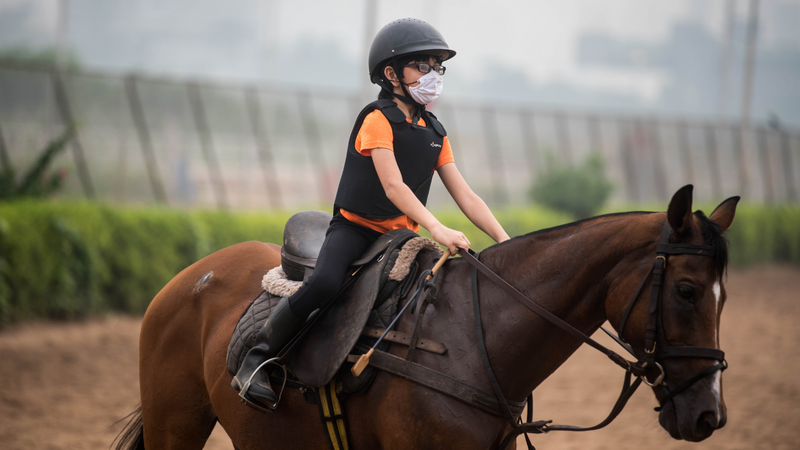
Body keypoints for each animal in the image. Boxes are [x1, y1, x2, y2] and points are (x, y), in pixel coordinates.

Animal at [116, 185, 737, 449]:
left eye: (723, 296)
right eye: (686, 290)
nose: (710, 415)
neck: (473, 342)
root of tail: (189, 276)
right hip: (176, 425)